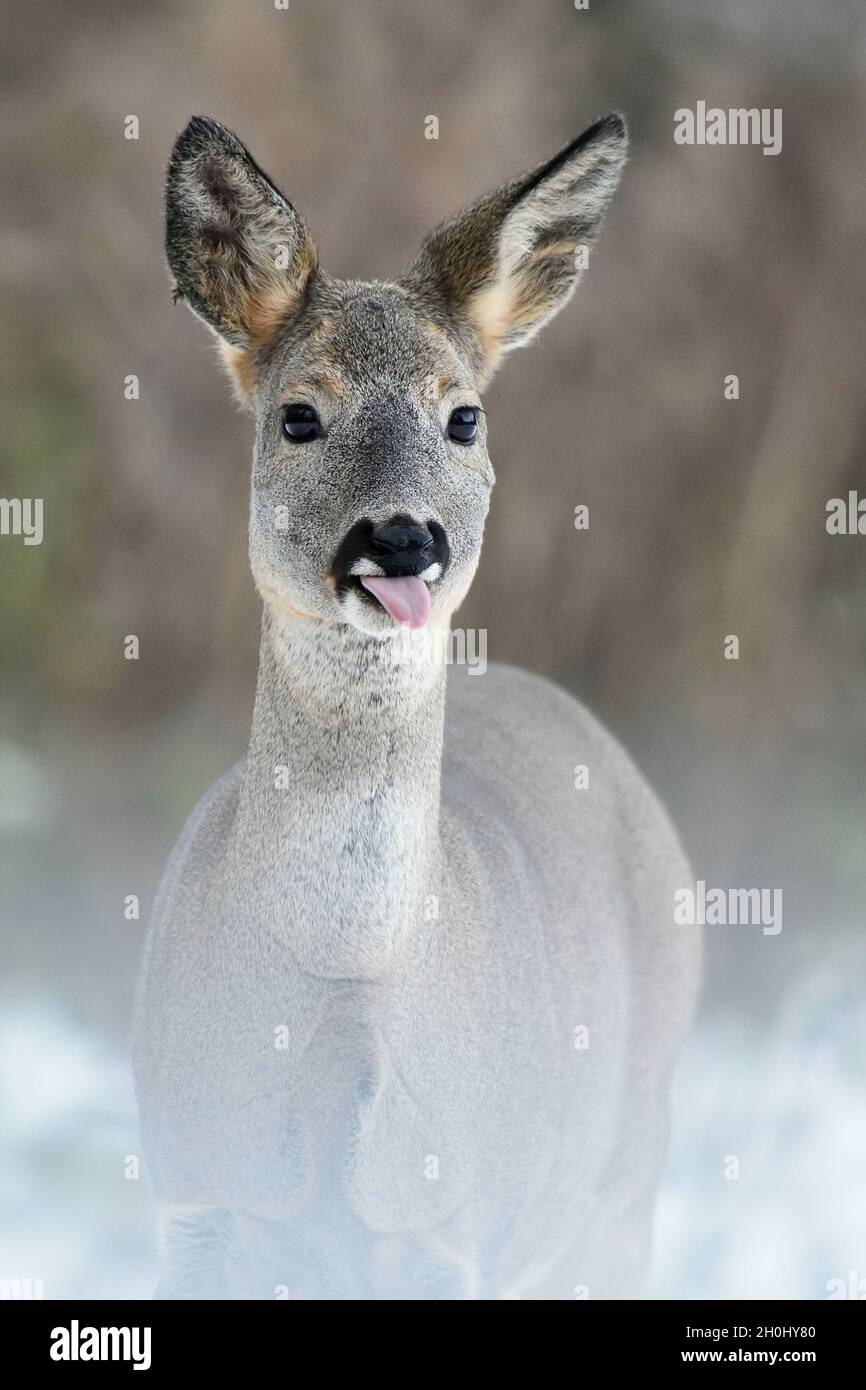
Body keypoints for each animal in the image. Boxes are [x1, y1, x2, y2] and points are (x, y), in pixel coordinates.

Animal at [132, 112, 701, 1301]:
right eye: (299, 415)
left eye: (465, 417)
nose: (400, 537)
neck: (345, 974)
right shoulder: (194, 1187)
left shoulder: (452, 1224)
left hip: (624, 1165)